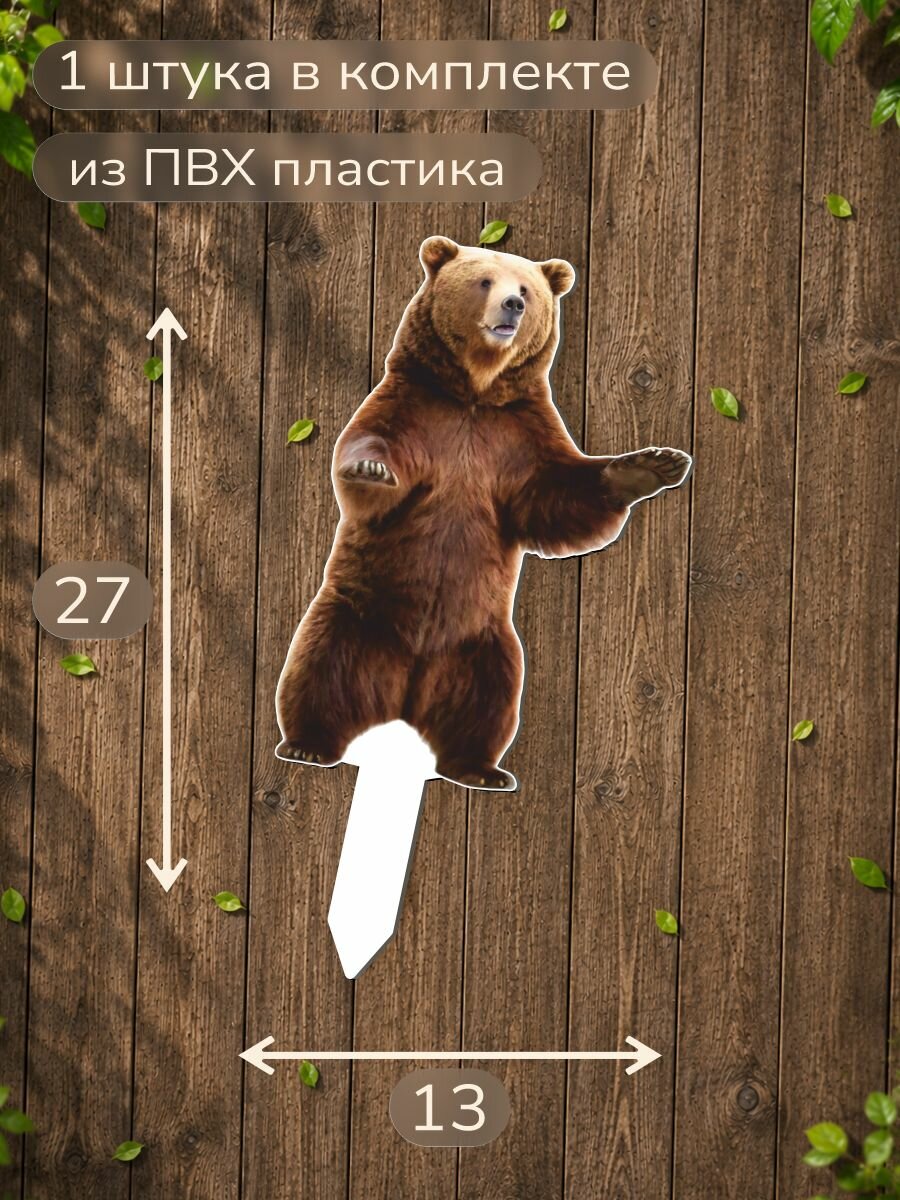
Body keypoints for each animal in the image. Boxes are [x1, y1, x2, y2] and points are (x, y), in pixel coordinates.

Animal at [275, 236, 691, 791]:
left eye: (527, 290)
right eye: (484, 280)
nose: (512, 305)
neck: (475, 391)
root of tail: (406, 689)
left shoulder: (517, 435)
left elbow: (555, 496)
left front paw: (655, 464)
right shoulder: (416, 409)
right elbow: (370, 448)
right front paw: (371, 469)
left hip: (483, 642)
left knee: (488, 698)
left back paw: (481, 768)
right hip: (355, 617)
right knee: (319, 667)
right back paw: (308, 743)